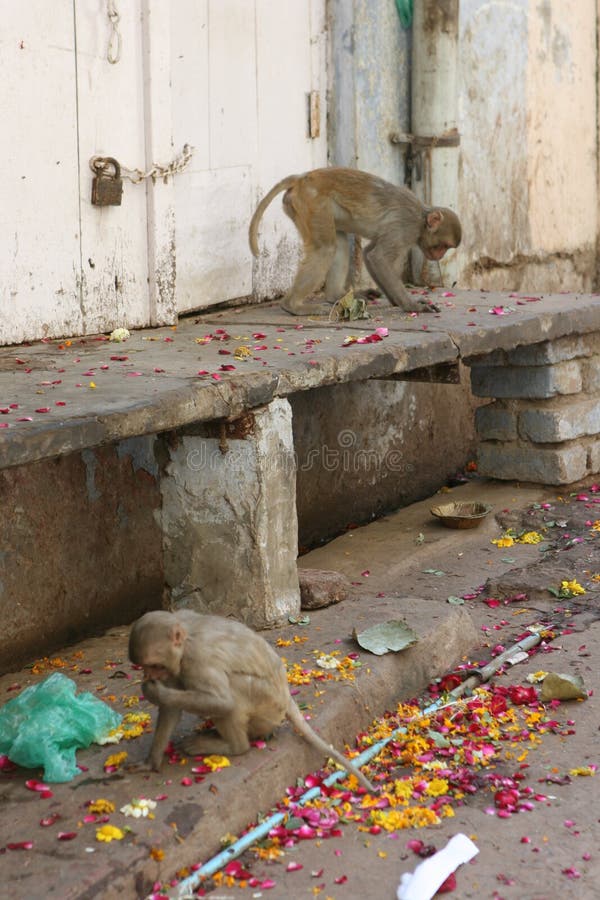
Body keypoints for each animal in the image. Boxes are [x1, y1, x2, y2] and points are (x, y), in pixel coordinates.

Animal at [129, 609, 374, 792]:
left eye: (155, 665)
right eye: (143, 666)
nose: (149, 676)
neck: (185, 638)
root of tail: (286, 694)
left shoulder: (197, 659)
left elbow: (224, 702)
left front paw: (154, 693)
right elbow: (171, 709)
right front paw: (150, 762)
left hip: (266, 704)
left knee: (234, 692)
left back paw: (234, 746)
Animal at [249, 166, 461, 316]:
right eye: (442, 246)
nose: (439, 255)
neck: (421, 219)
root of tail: (303, 177)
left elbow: (368, 254)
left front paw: (395, 301)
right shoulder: (404, 228)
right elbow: (379, 258)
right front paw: (411, 305)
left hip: (299, 206)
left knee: (339, 244)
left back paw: (334, 295)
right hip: (313, 202)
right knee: (326, 248)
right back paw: (292, 306)